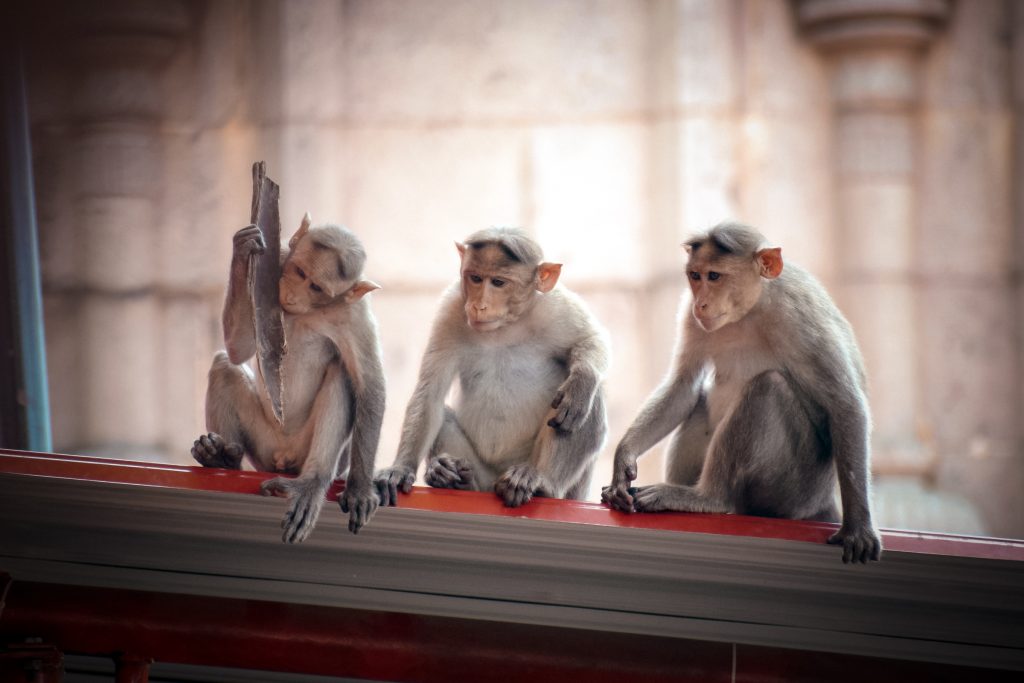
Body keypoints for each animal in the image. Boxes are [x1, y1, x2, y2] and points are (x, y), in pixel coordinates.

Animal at [191, 213, 385, 541]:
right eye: (299, 271)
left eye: (316, 287)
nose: (292, 295)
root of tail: (283, 456)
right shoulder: (275, 262)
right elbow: (239, 349)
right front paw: (243, 248)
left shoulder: (354, 313)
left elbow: (369, 385)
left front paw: (359, 488)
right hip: (263, 445)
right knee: (224, 365)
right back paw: (221, 458)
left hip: (305, 450)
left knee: (342, 374)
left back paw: (312, 483)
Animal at [375, 227, 609, 508]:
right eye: (476, 278)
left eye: (499, 282)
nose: (479, 305)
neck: (506, 326)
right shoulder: (452, 308)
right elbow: (430, 393)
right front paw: (401, 468)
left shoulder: (556, 307)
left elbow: (590, 340)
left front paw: (582, 379)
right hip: (486, 476)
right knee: (442, 413)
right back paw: (454, 478)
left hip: (562, 485)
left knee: (586, 402)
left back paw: (543, 483)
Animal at [602, 222, 882, 564]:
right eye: (695, 276)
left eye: (714, 276)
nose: (700, 303)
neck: (752, 308)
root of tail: (821, 500)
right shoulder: (690, 318)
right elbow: (684, 385)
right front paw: (624, 458)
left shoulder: (799, 315)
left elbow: (844, 404)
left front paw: (859, 527)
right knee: (702, 403)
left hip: (796, 489)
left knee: (768, 387)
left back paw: (708, 497)